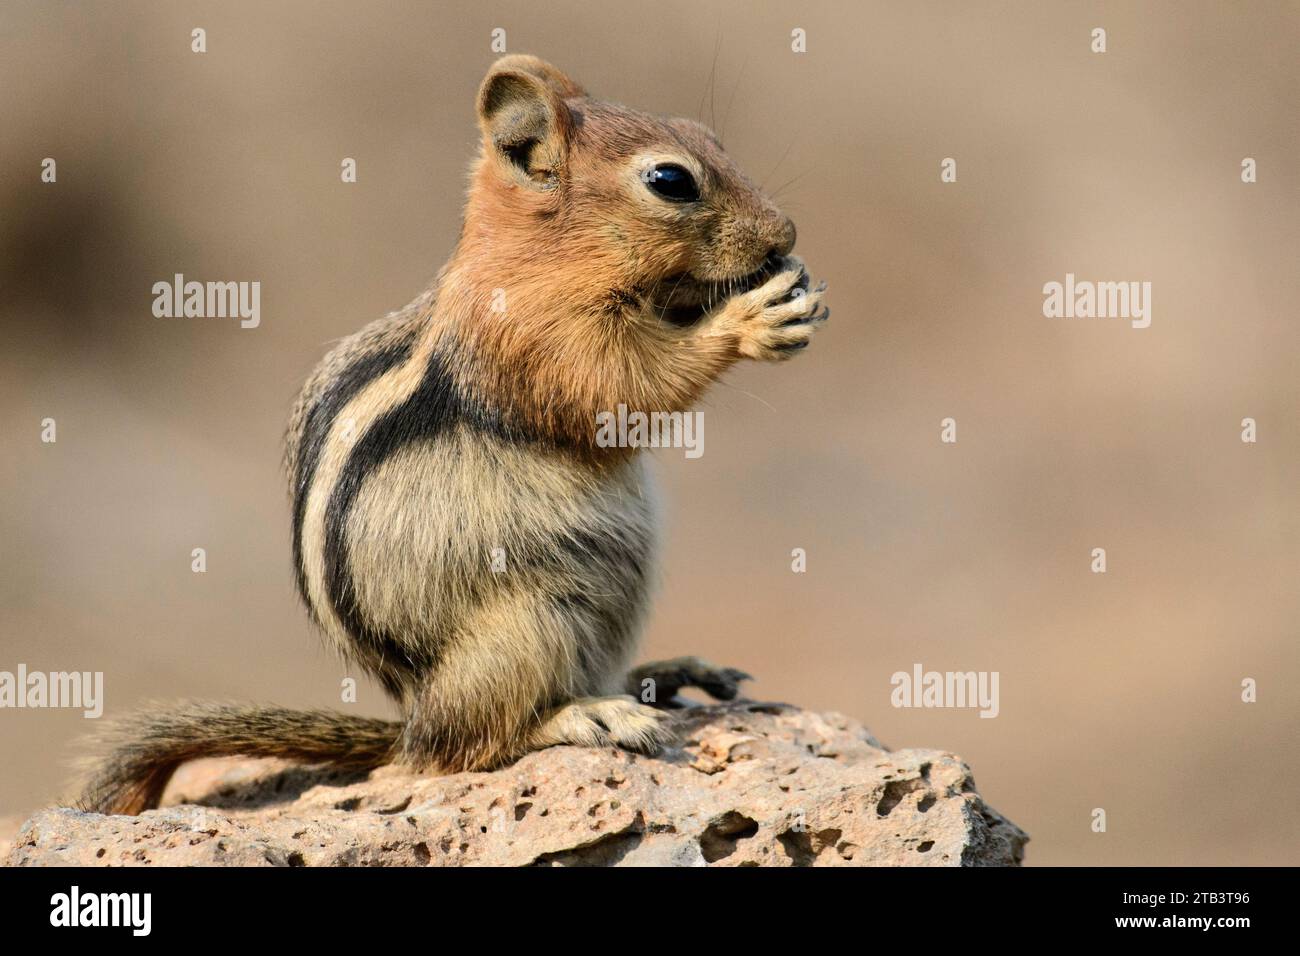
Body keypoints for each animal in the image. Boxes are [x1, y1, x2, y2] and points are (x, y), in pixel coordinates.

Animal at [77, 55, 829, 815]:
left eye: (709, 136)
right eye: (671, 180)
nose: (786, 234)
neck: (537, 258)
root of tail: (410, 718)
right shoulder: (537, 338)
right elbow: (621, 388)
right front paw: (751, 320)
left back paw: (662, 673)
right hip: (526, 625)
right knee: (463, 747)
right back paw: (587, 716)